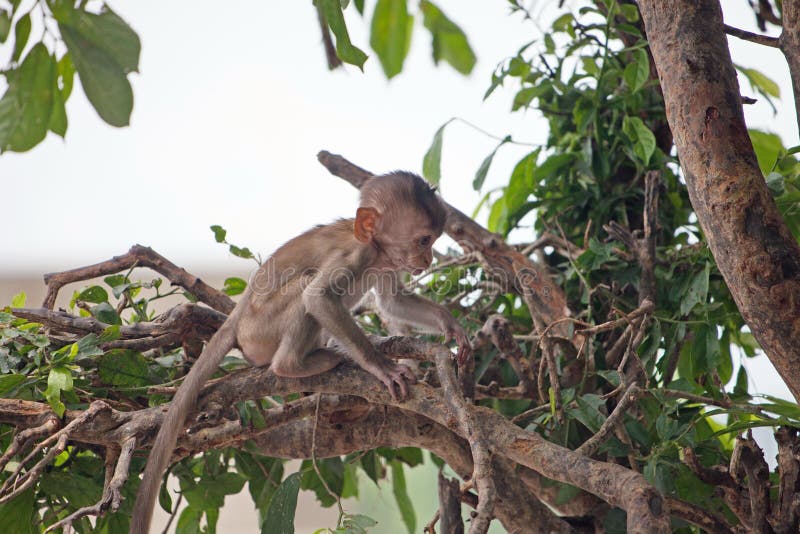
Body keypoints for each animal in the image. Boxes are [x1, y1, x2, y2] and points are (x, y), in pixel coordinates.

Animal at [130, 171, 471, 533]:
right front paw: (382, 367)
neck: (376, 251)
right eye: (424, 240)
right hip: (260, 329)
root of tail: (239, 317)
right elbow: (317, 298)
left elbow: (395, 302)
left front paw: (451, 325)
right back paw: (293, 365)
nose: (428, 259)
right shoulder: (354, 255)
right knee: (305, 287)